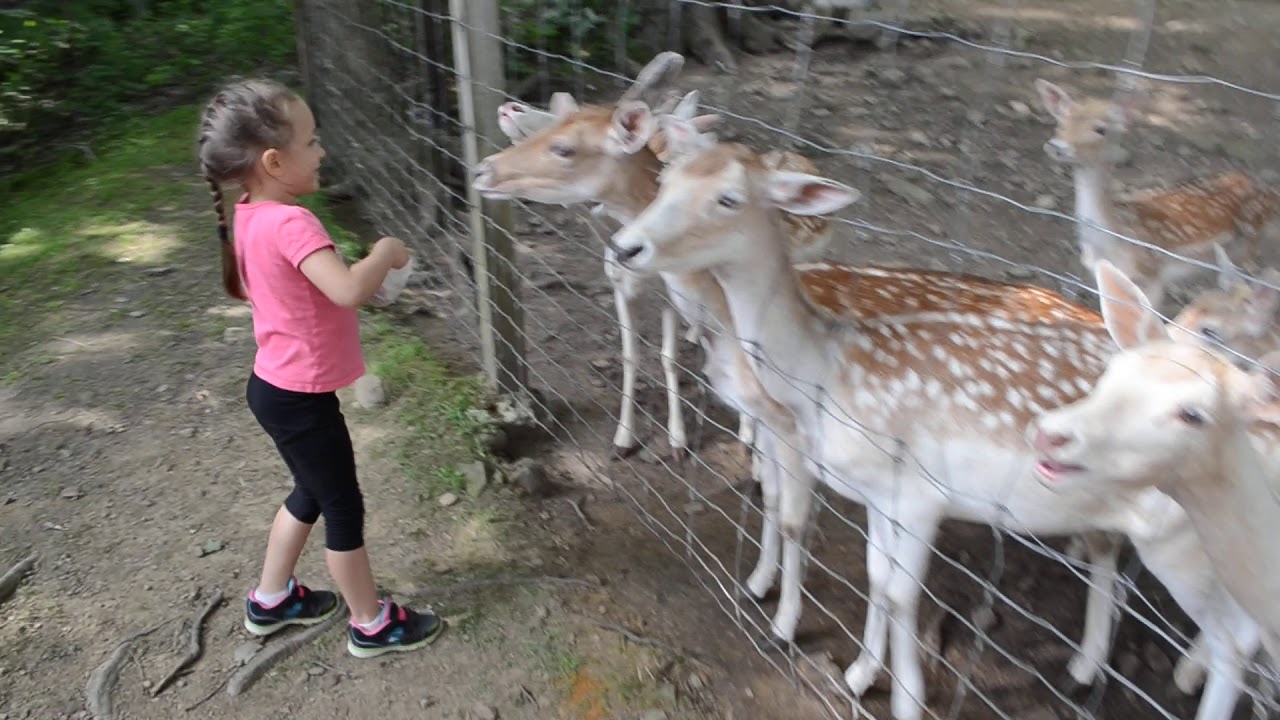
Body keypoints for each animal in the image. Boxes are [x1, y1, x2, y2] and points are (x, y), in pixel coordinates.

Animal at [478, 84, 1139, 688]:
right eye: (663, 181)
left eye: (564, 146)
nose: (484, 169)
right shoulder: (780, 423)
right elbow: (779, 502)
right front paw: (759, 584)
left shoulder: (794, 426)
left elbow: (797, 517)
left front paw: (785, 624)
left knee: (1114, 552)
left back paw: (1085, 666)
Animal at [1034, 78, 1280, 314]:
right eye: (1061, 122)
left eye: (1101, 129)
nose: (1057, 146)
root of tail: (1271, 192)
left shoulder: (1152, 274)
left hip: (1250, 243)